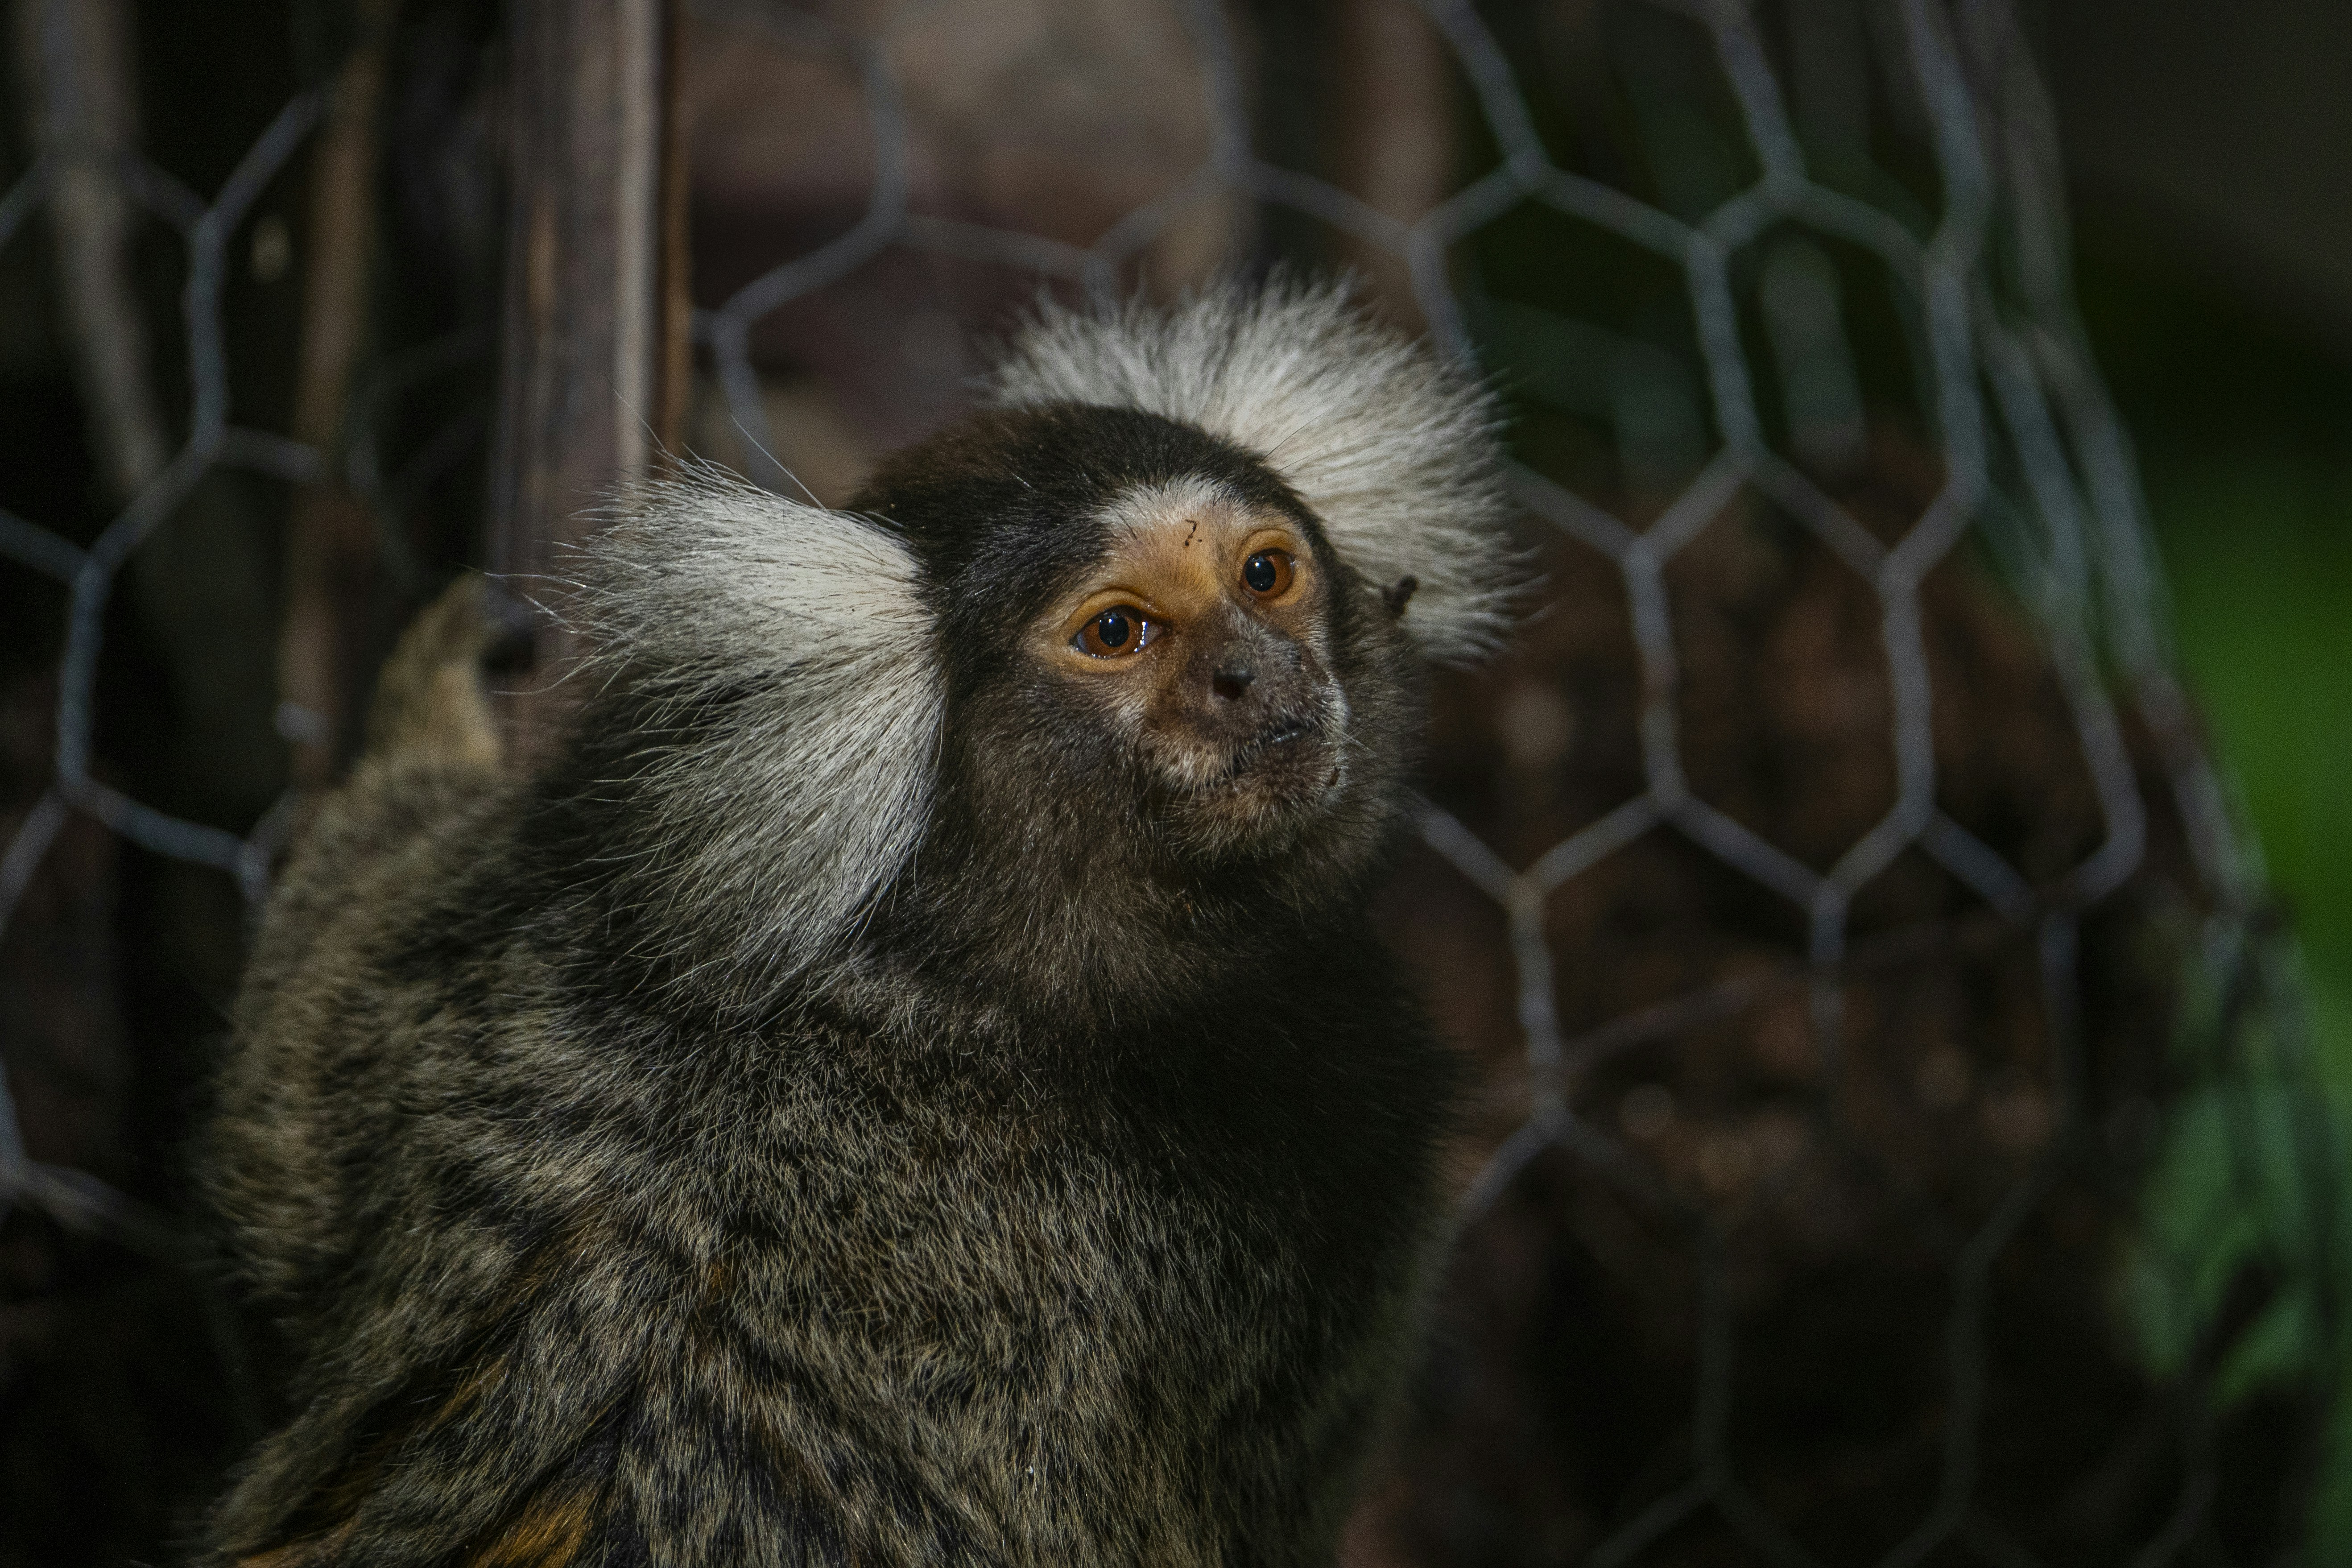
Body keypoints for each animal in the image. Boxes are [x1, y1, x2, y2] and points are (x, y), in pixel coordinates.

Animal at [199, 278, 1517, 1567]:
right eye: (1118, 633)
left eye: (1264, 577)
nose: (1252, 677)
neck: (943, 970)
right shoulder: (1305, 1177)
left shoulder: (534, 939)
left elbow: (283, 1089)